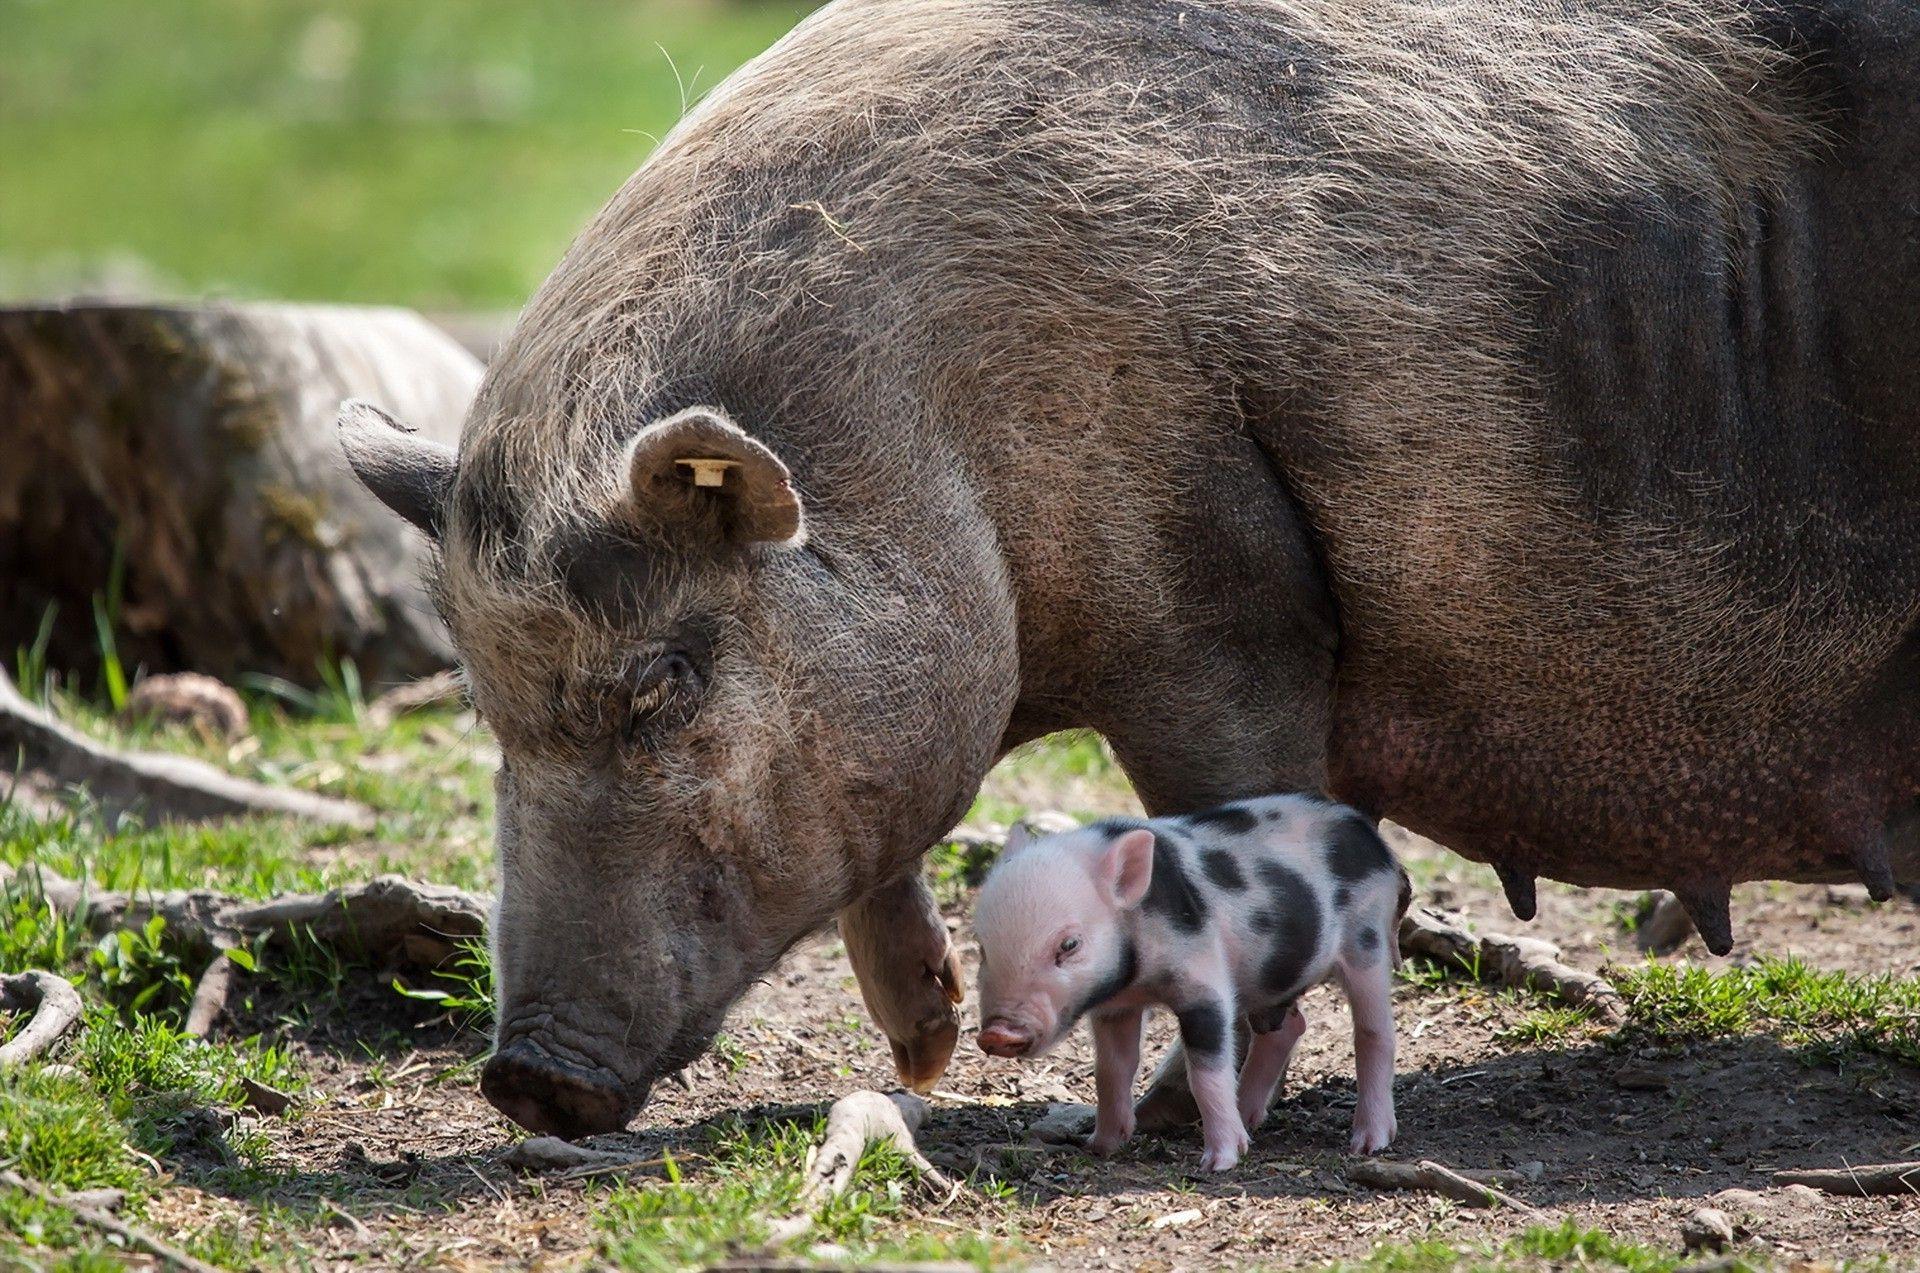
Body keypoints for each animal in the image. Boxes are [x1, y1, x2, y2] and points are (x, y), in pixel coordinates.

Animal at [973, 797, 1408, 1170]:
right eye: (981, 946)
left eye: (1069, 945)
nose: (997, 1033)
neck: (1140, 978)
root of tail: (1380, 849)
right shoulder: (1116, 1008)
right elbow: (1112, 1069)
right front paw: (1100, 1146)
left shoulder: (1204, 981)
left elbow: (1206, 1072)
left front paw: (1220, 1162)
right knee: (1286, 1029)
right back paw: (1249, 1120)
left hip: (1367, 939)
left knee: (1375, 1032)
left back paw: (1367, 1143)